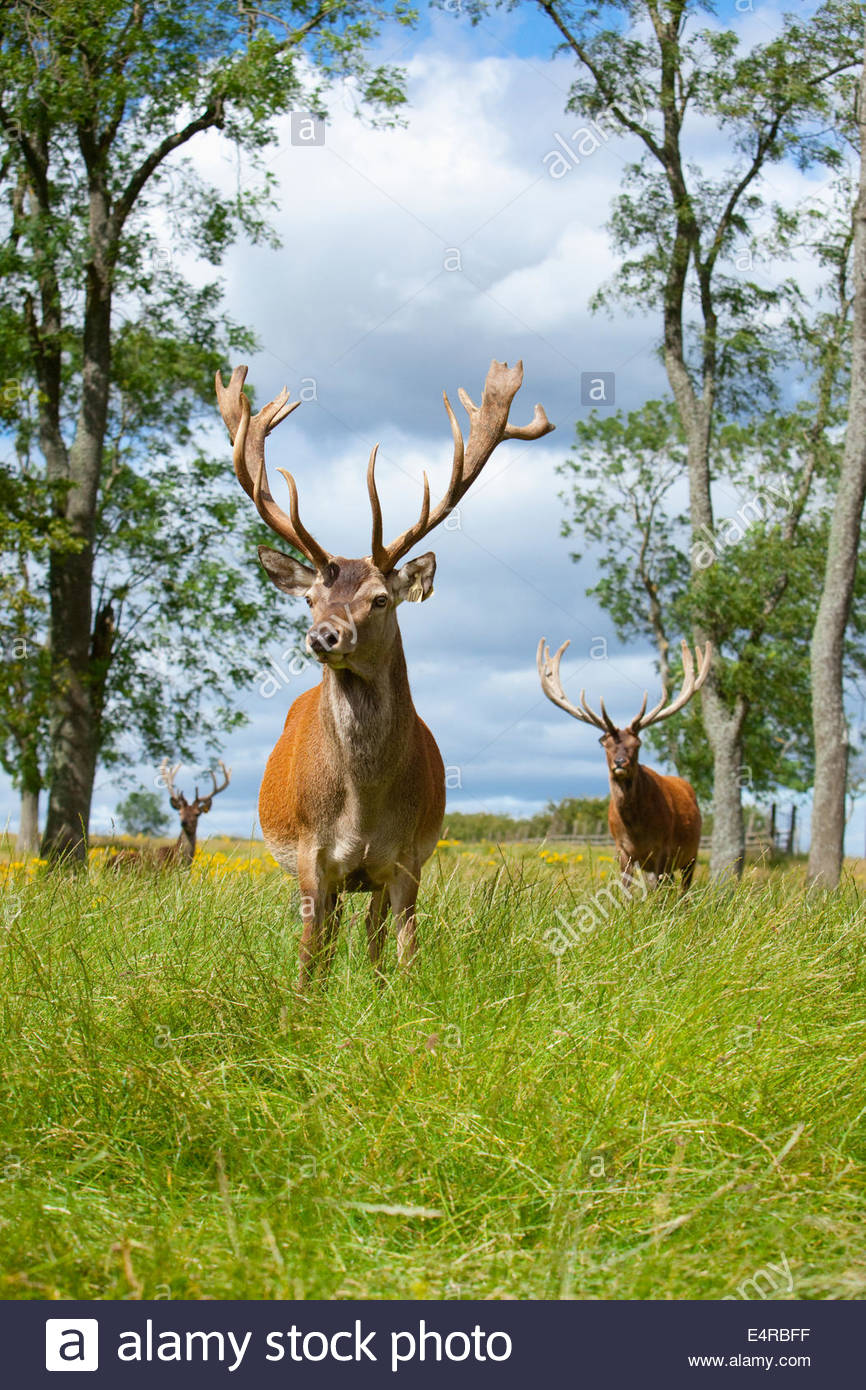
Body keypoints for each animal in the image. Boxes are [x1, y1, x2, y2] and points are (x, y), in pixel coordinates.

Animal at [216, 359, 554, 989]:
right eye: (310, 600)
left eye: (379, 599)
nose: (323, 636)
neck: (364, 810)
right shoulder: (310, 855)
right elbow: (309, 960)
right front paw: (302, 1008)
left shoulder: (409, 859)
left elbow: (404, 952)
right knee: (329, 940)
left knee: (369, 936)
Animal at [536, 638, 712, 891]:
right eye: (606, 744)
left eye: (636, 743)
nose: (621, 762)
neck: (637, 829)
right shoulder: (622, 850)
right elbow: (626, 889)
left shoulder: (664, 846)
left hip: (692, 854)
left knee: (683, 889)